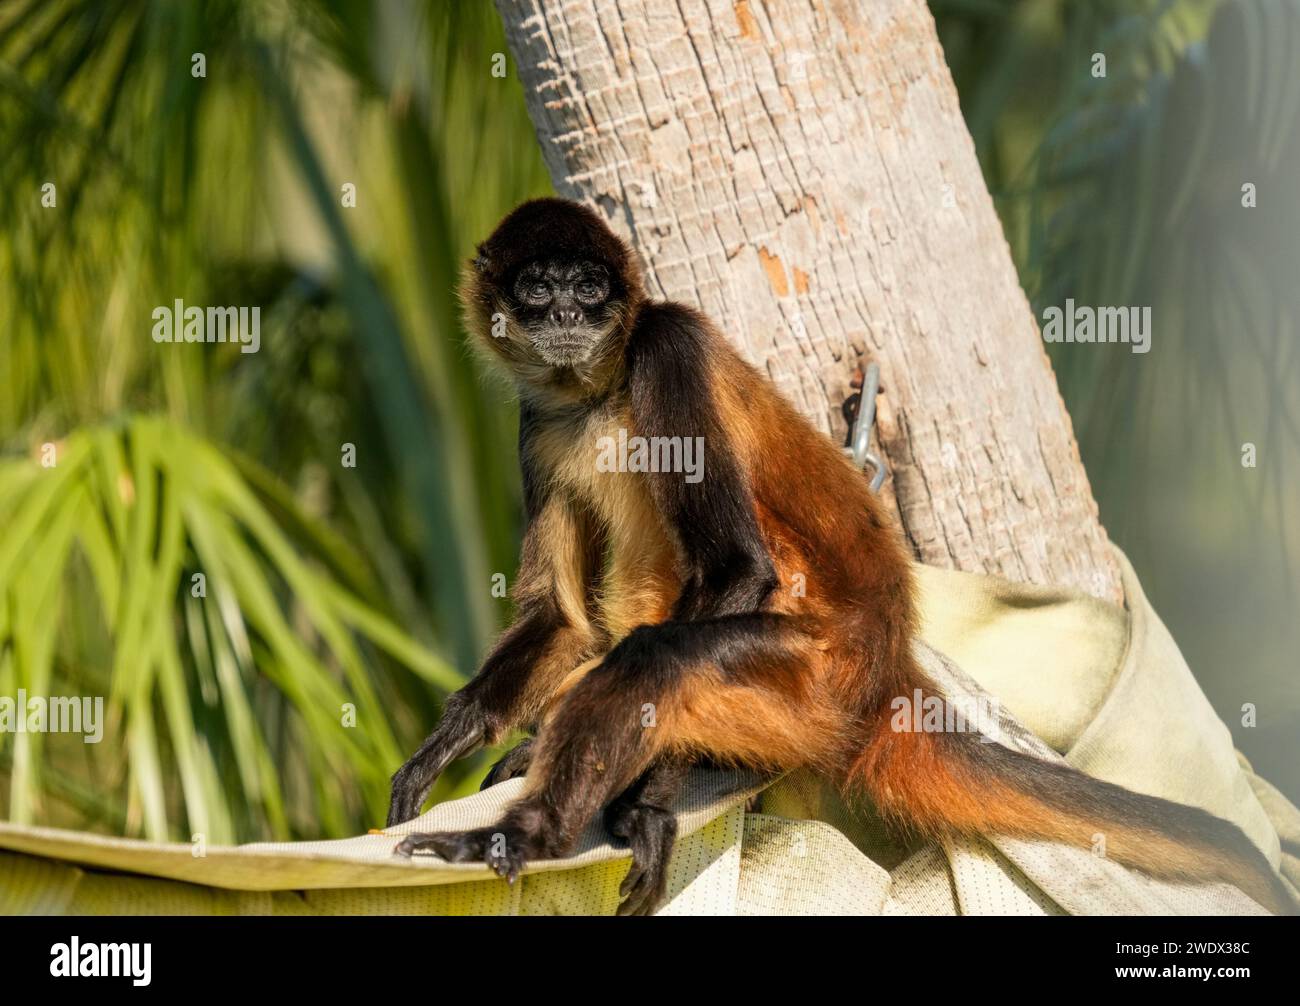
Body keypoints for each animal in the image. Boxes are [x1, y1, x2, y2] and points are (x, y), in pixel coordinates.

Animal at [387, 196, 1295, 917]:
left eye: (589, 289)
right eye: (538, 291)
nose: (568, 320)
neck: (599, 392)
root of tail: (887, 666)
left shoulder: (667, 347)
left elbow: (737, 570)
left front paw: (640, 803)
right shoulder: (538, 419)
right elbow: (561, 620)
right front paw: (445, 743)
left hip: (807, 676)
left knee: (658, 653)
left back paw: (536, 832)